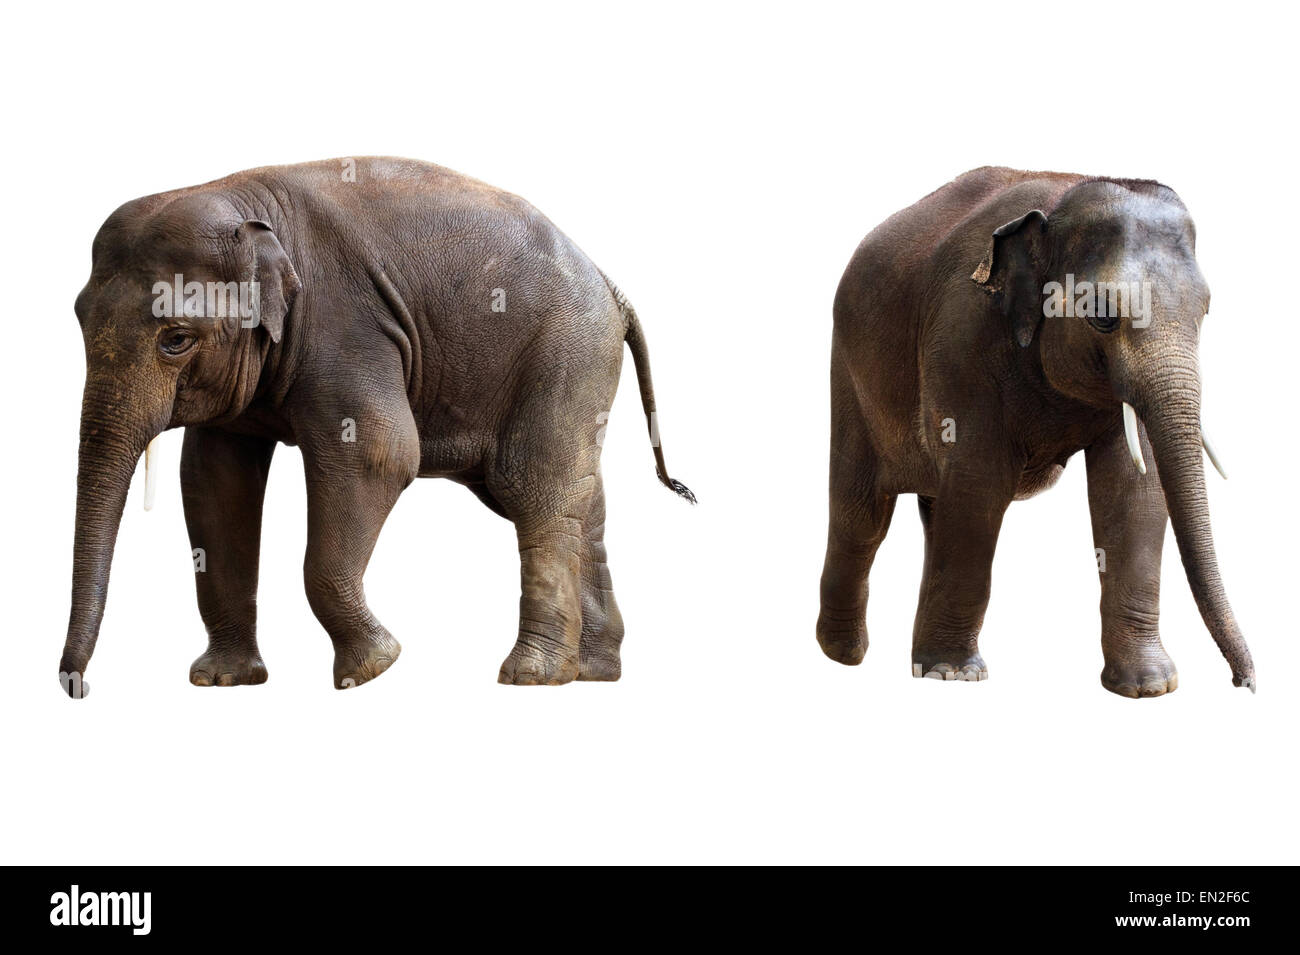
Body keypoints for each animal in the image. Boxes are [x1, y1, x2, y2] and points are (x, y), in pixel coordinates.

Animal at [61, 157, 693, 696]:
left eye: (175, 339)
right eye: (78, 320)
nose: (76, 685)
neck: (244, 200)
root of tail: (611, 285)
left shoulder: (343, 323)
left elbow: (380, 454)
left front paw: (370, 670)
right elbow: (213, 482)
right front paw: (223, 681)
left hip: (566, 352)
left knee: (535, 490)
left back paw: (532, 676)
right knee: (581, 500)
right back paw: (595, 673)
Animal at [816, 166, 1253, 697]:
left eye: (1205, 311)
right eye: (1102, 313)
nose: (1244, 682)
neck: (1062, 199)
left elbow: (1134, 491)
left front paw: (1149, 687)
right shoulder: (963, 338)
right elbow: (981, 485)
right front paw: (956, 675)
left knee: (933, 509)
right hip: (850, 376)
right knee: (862, 516)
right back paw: (845, 655)